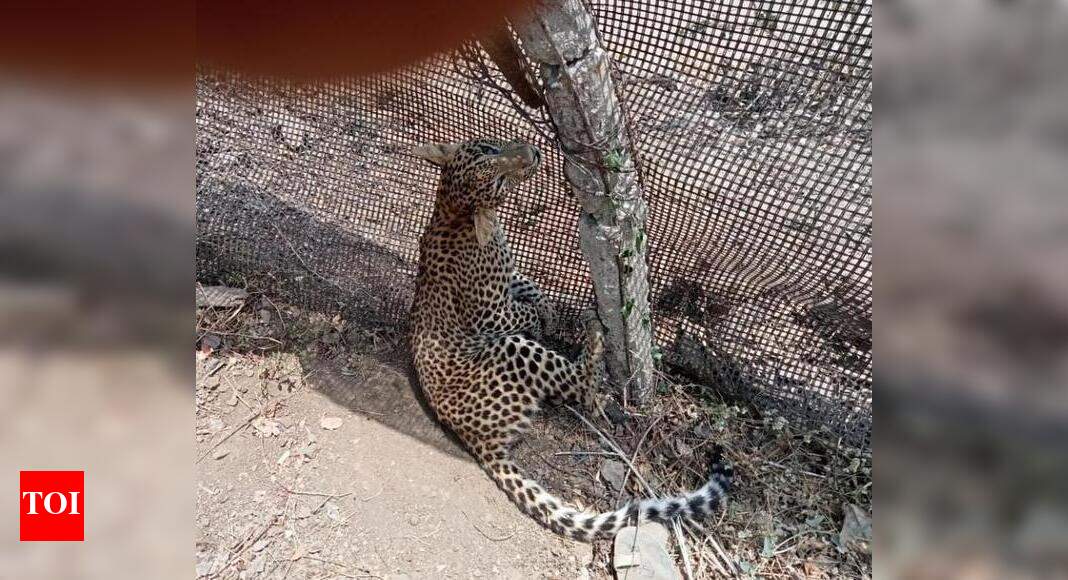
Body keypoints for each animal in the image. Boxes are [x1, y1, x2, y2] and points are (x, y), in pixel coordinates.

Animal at [409, 138, 732, 541]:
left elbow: (531, 289)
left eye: (491, 148)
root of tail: (477, 440)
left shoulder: (510, 281)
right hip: (512, 350)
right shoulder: (490, 313)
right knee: (583, 387)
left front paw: (549, 310)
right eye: (499, 182)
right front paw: (548, 318)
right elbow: (526, 312)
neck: (452, 208)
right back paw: (592, 331)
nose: (531, 153)